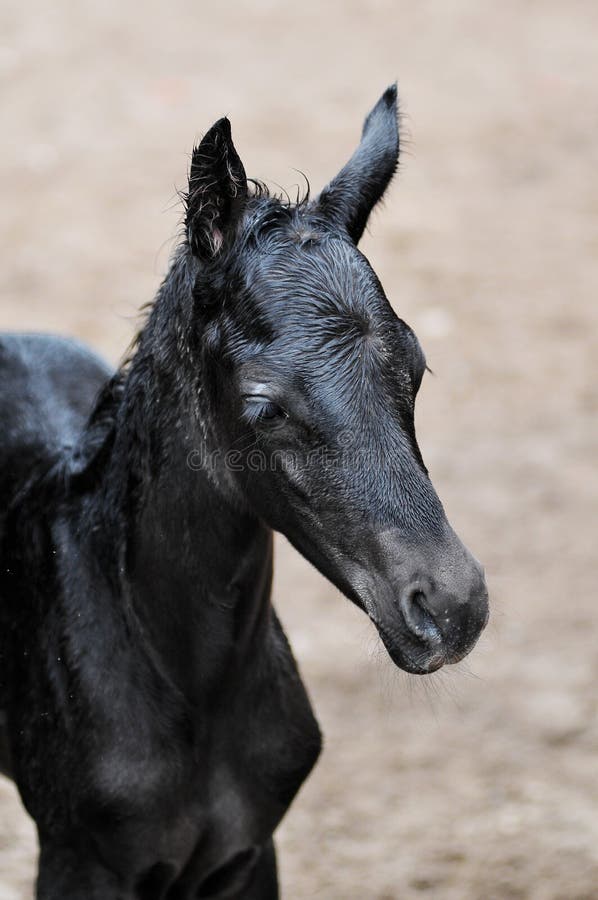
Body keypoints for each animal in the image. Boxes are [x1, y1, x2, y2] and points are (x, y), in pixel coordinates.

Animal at [0, 85, 488, 899]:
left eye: (416, 366)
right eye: (267, 406)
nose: (452, 609)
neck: (195, 686)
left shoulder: (248, 854)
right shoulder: (78, 862)